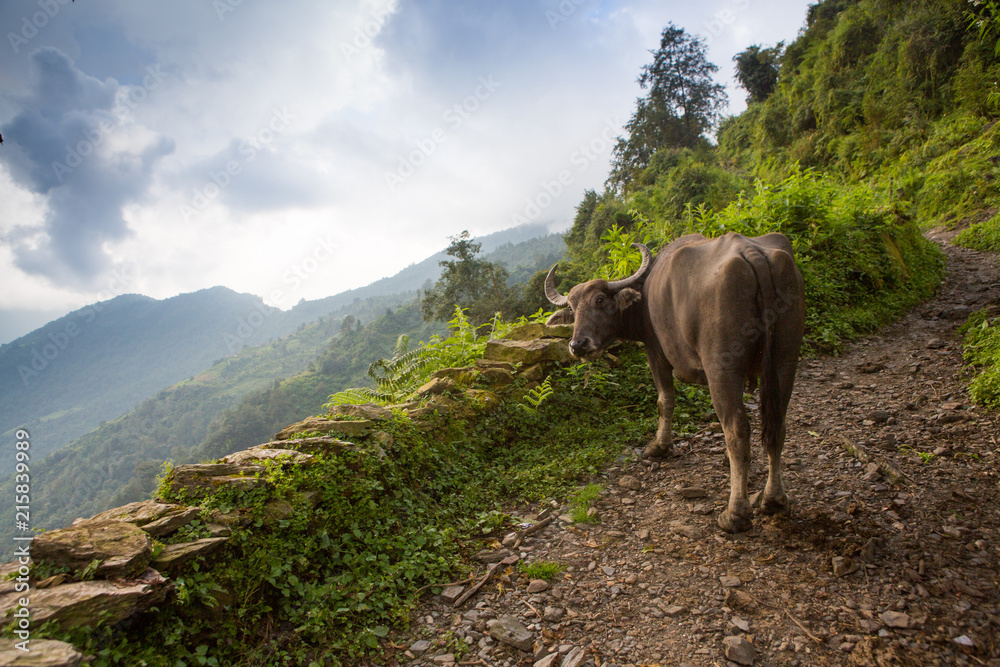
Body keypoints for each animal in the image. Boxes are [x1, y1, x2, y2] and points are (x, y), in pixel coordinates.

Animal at [546, 232, 805, 532]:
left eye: (599, 300)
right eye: (572, 308)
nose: (578, 345)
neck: (644, 297)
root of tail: (751, 253)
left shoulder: (656, 354)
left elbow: (664, 401)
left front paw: (659, 446)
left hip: (722, 369)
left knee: (737, 429)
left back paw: (735, 513)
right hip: (785, 358)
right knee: (777, 425)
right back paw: (774, 499)